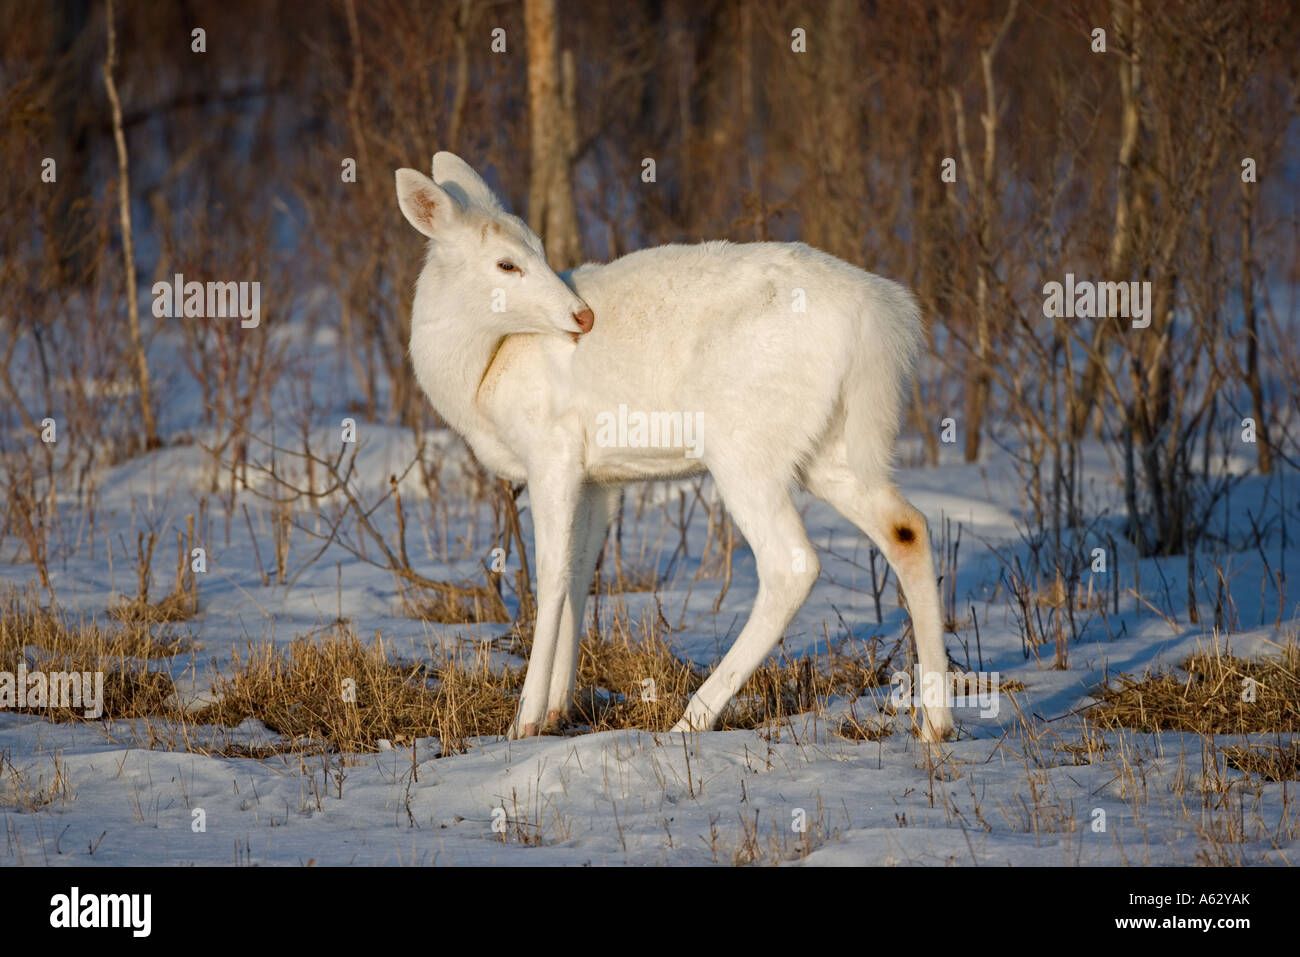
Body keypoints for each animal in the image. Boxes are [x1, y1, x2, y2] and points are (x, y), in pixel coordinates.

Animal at [395, 152, 955, 743]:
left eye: (538, 251)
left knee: (792, 564)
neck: (483, 372)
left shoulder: (552, 449)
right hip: (831, 449)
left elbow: (551, 577)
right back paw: (935, 723)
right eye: (507, 263)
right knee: (907, 528)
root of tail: (882, 319)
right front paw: (558, 709)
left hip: (742, 444)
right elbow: (580, 573)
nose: (581, 316)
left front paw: (524, 722)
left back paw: (694, 717)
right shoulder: (600, 478)